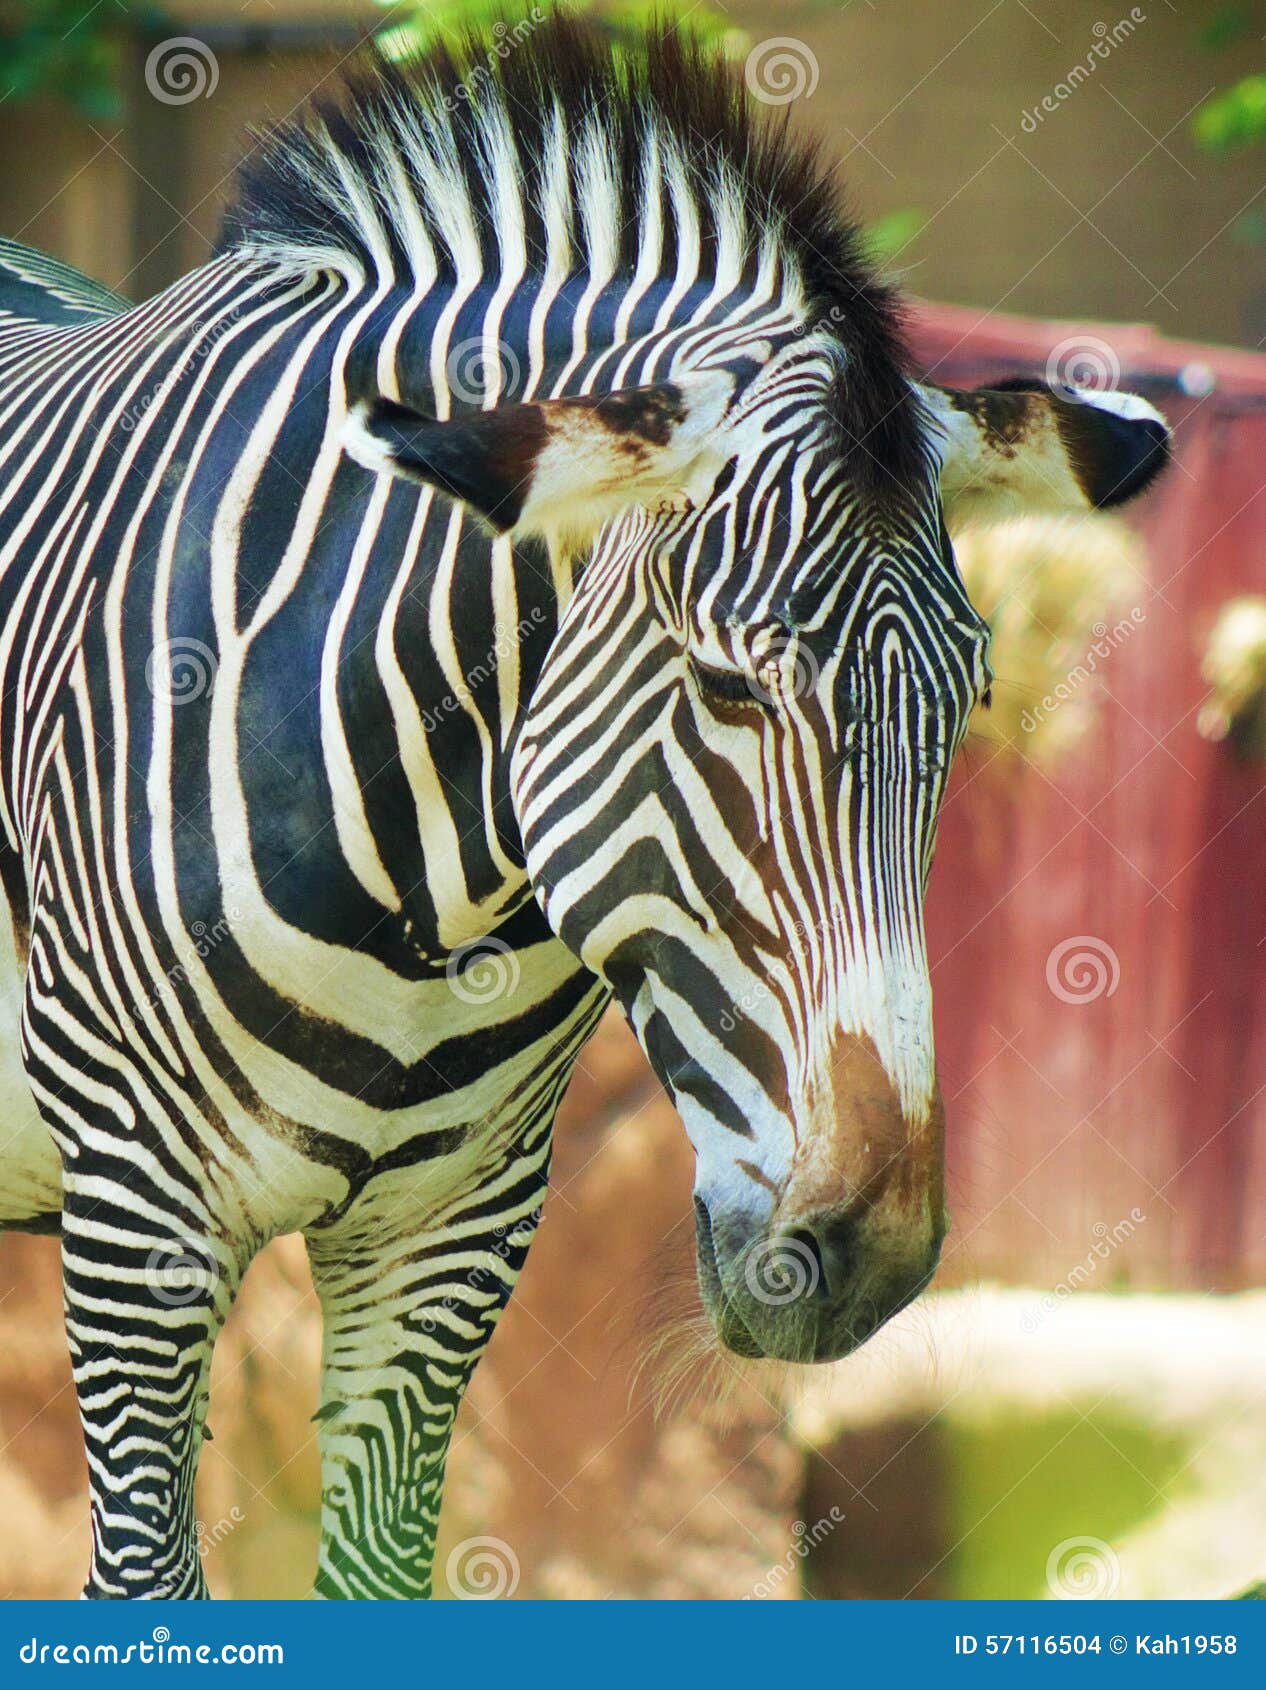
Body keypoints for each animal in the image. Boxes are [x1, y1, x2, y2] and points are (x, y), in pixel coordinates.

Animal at [0, 19, 1168, 1599]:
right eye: (727, 687)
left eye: (968, 705)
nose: (865, 1254)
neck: (423, 905)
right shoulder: (136, 1222)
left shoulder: (451, 1232)